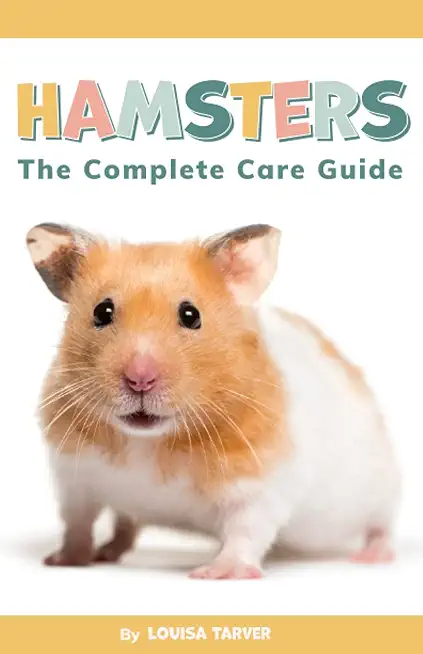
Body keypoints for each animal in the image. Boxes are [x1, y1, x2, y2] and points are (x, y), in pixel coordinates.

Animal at [26, 222, 400, 579]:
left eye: (191, 315)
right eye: (102, 312)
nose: (140, 379)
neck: (147, 442)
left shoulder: (260, 484)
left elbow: (246, 530)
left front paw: (217, 574)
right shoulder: (74, 478)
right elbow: (77, 523)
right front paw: (62, 561)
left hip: (381, 488)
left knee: (382, 524)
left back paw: (374, 556)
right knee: (125, 525)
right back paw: (106, 553)